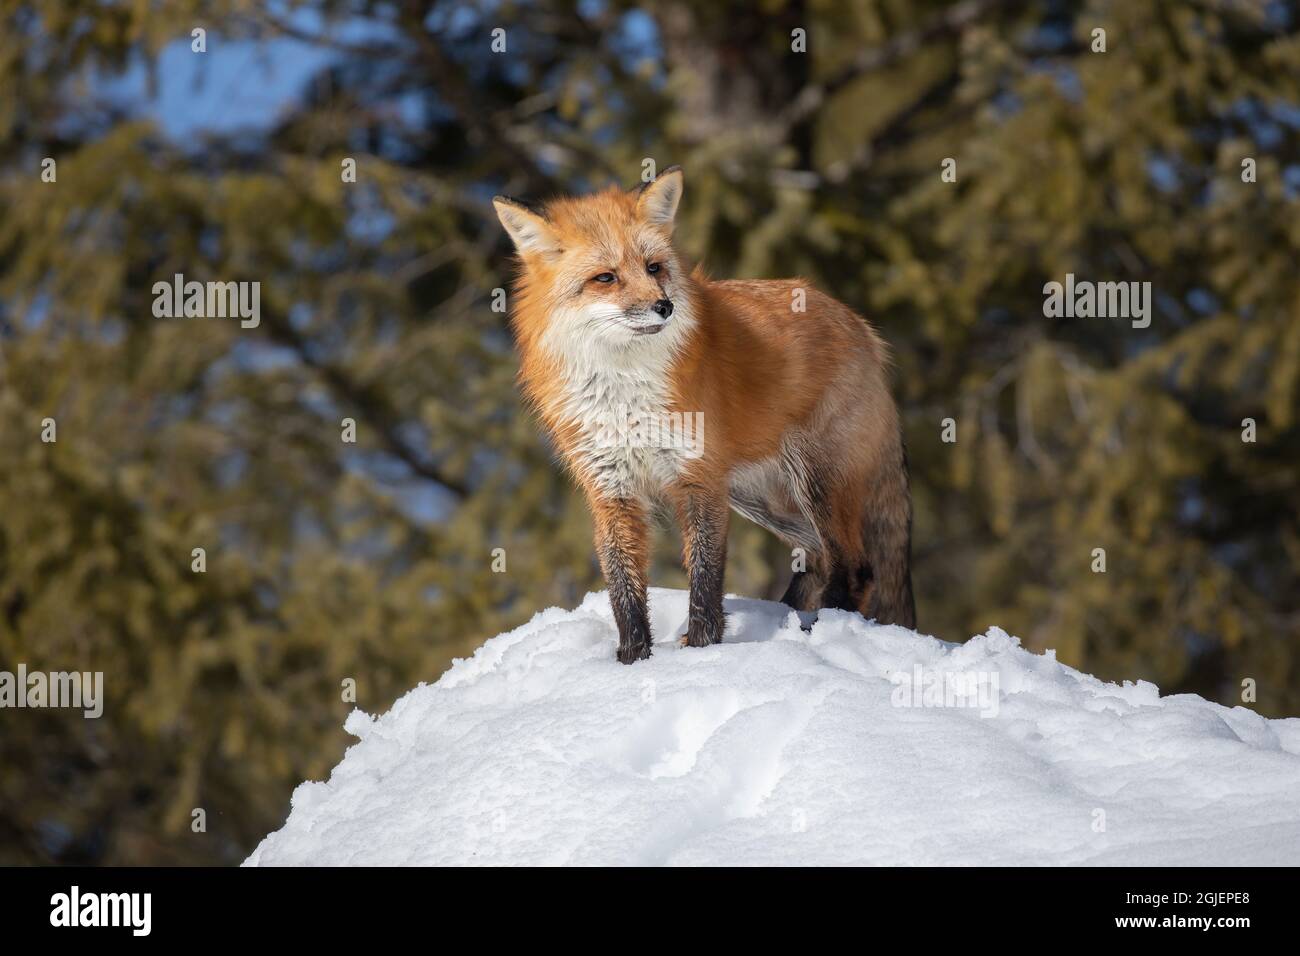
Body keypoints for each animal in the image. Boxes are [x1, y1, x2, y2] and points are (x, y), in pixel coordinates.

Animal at [493, 166, 915, 664]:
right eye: (605, 277)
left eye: (654, 268)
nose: (664, 306)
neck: (624, 392)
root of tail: (864, 329)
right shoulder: (611, 489)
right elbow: (623, 587)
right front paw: (632, 661)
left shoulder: (699, 478)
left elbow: (705, 578)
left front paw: (701, 650)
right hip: (763, 499)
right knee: (816, 559)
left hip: (814, 482)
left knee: (855, 567)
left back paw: (818, 632)